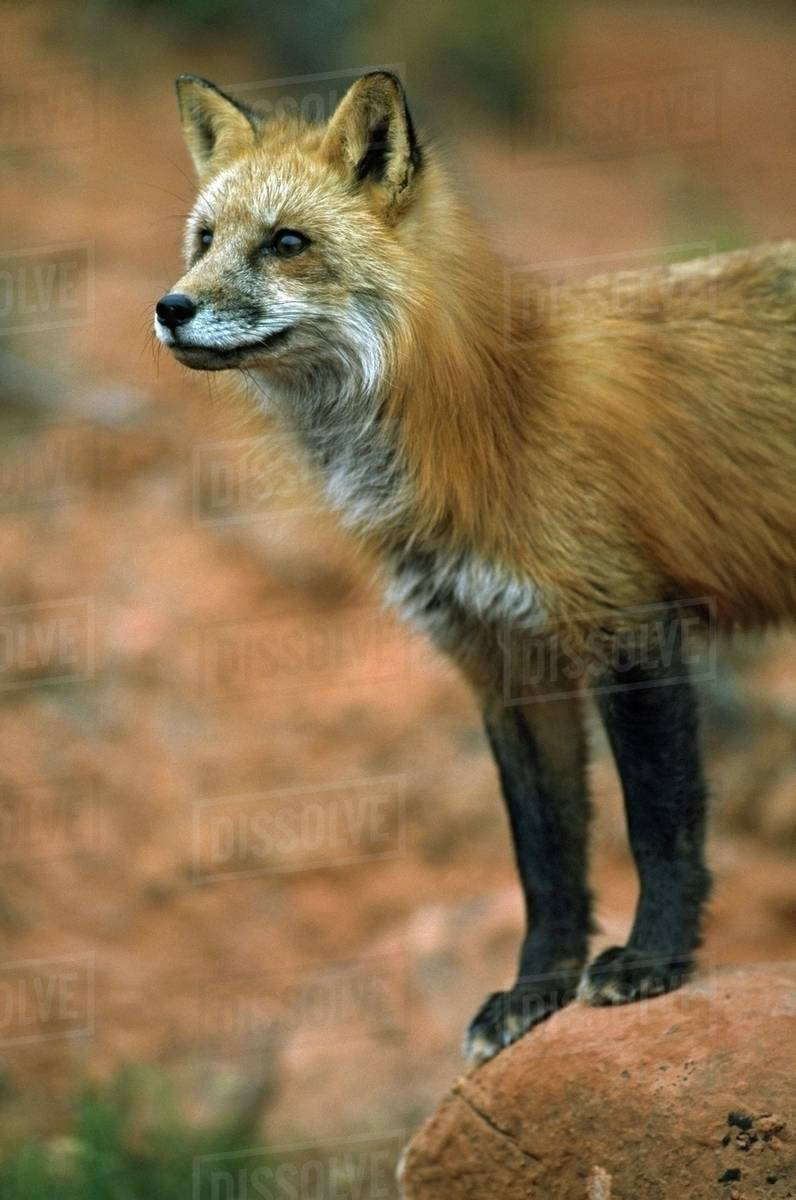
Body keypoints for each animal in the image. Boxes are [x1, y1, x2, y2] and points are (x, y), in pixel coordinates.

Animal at [155, 70, 796, 1065]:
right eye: (204, 240)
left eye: (288, 243)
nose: (171, 307)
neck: (493, 410)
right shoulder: (502, 659)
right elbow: (545, 859)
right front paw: (534, 992)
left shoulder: (627, 624)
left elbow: (660, 820)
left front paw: (653, 961)